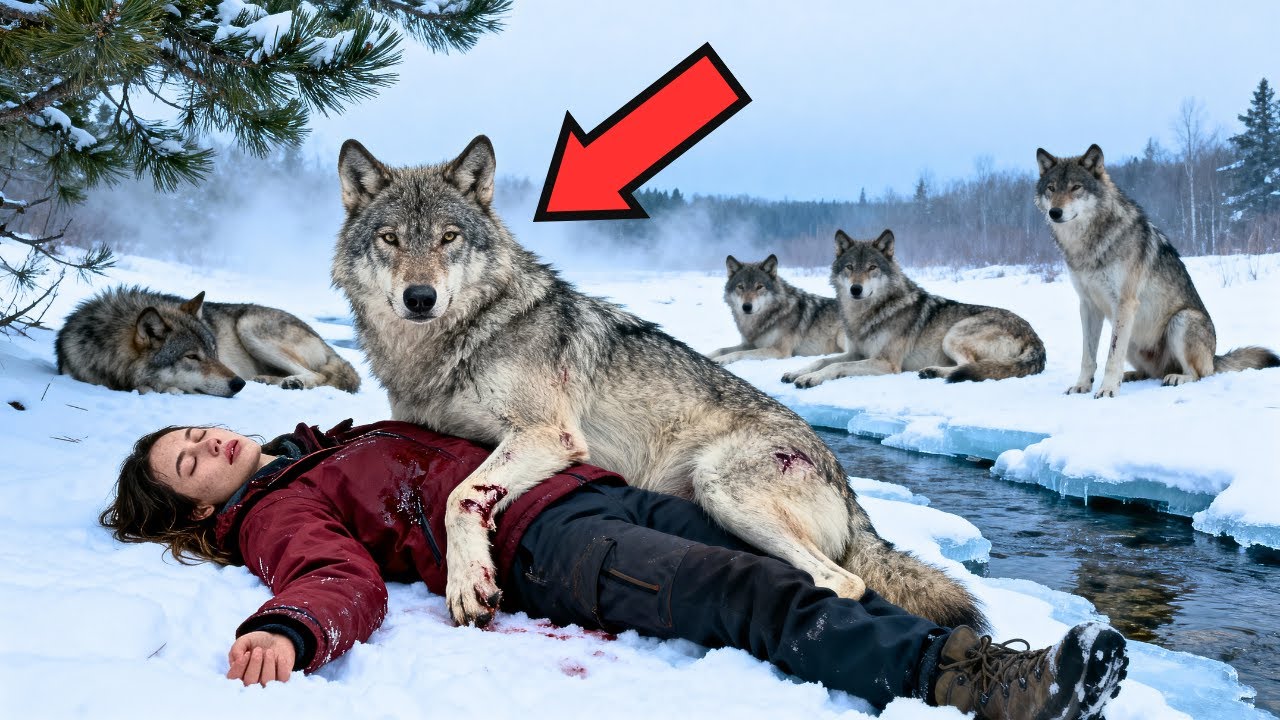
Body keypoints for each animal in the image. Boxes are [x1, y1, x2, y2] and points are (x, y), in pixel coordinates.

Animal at [56, 286, 361, 396]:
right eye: (192, 357)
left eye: (214, 352)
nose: (238, 384)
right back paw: (267, 380)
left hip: (250, 326)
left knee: (319, 375)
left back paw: (292, 382)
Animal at [706, 254, 848, 365]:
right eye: (740, 287)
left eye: (759, 287)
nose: (746, 307)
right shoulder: (748, 344)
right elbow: (720, 349)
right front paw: (707, 356)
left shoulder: (779, 350)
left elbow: (739, 353)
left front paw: (721, 359)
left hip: (841, 337)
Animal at [783, 230, 1047, 389]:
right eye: (849, 267)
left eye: (871, 268)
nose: (856, 289)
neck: (868, 313)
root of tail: (1036, 338)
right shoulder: (856, 353)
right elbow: (822, 360)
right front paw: (797, 372)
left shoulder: (886, 363)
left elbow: (837, 366)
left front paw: (810, 379)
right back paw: (931, 372)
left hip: (953, 335)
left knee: (967, 367)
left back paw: (934, 372)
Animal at [1035, 144, 1279, 398]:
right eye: (1051, 188)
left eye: (1076, 187)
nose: (1055, 212)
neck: (1087, 243)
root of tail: (1214, 357)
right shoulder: (1088, 305)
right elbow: (1088, 356)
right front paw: (1082, 385)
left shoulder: (1124, 303)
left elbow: (1112, 357)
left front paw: (1108, 390)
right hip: (1132, 336)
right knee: (1148, 372)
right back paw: (1131, 376)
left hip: (1180, 320)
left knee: (1198, 374)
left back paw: (1176, 377)